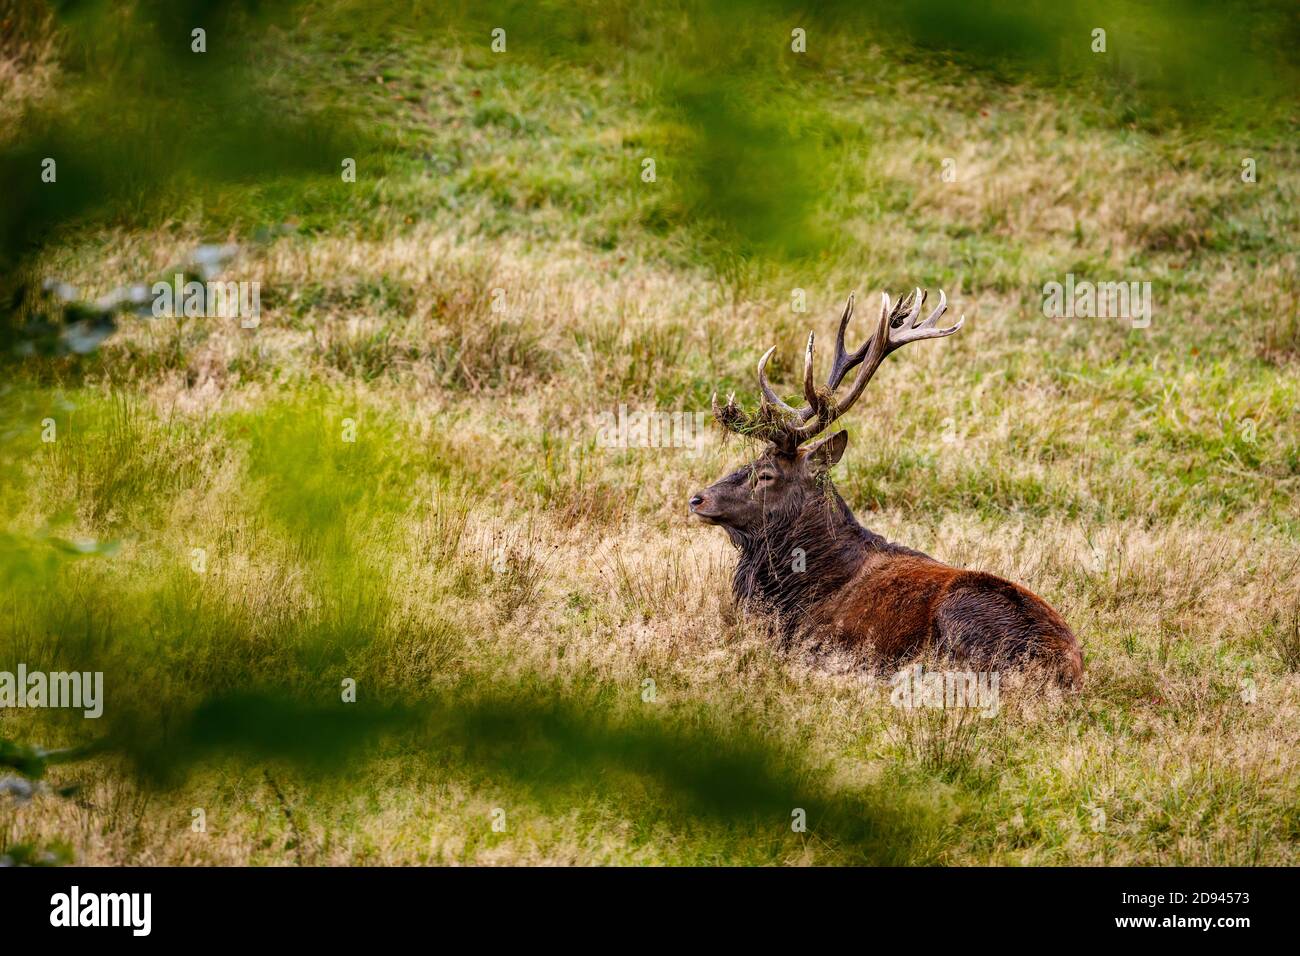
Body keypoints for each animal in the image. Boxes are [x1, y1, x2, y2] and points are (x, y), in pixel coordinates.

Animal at [689, 289, 1083, 688]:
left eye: (767, 474)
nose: (697, 498)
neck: (796, 583)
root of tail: (1065, 670)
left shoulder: (813, 638)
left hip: (963, 614)